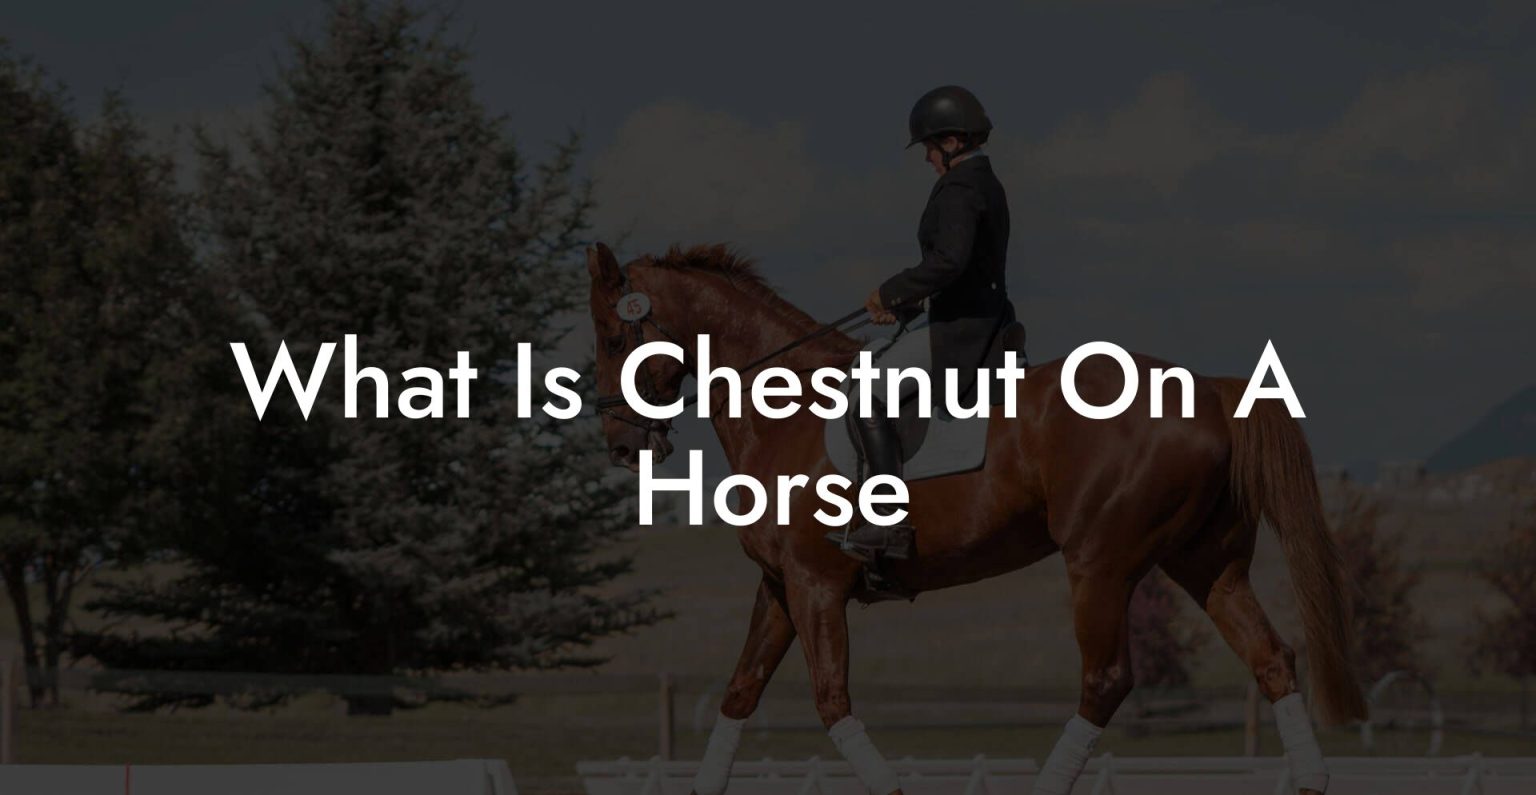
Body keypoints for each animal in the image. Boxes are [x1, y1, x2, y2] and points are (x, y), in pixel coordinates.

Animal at [585, 242, 1365, 795]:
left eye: (615, 339)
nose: (620, 446)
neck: (783, 408)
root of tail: (1210, 390)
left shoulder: (816, 587)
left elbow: (832, 702)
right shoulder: (781, 587)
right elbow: (741, 692)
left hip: (1100, 563)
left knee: (1106, 680)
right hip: (1207, 562)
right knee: (1271, 657)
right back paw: (1309, 779)